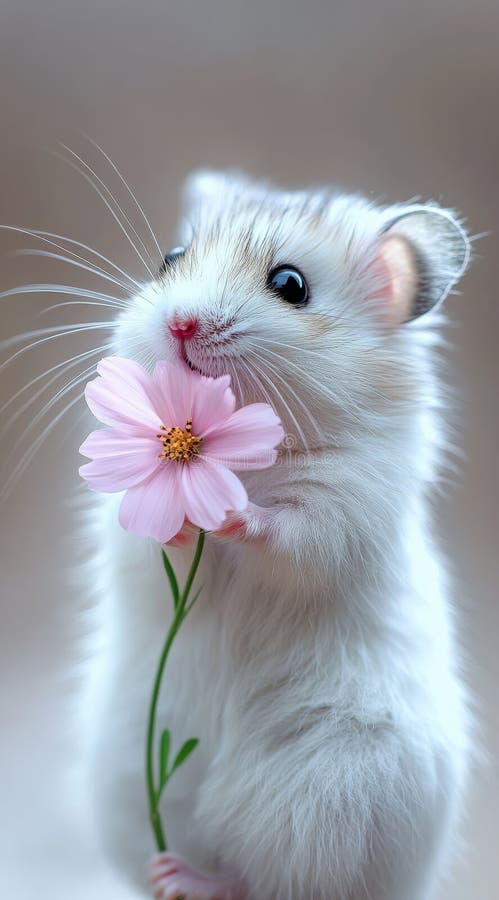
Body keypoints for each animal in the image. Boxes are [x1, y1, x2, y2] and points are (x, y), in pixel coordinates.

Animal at [83, 171, 472, 900]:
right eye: (170, 259)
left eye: (290, 285)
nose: (180, 324)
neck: (247, 453)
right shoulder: (123, 527)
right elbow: (153, 546)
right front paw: (191, 522)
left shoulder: (347, 510)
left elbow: (290, 537)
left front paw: (231, 516)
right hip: (127, 774)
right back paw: (162, 874)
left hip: (329, 795)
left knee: (262, 880)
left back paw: (188, 878)